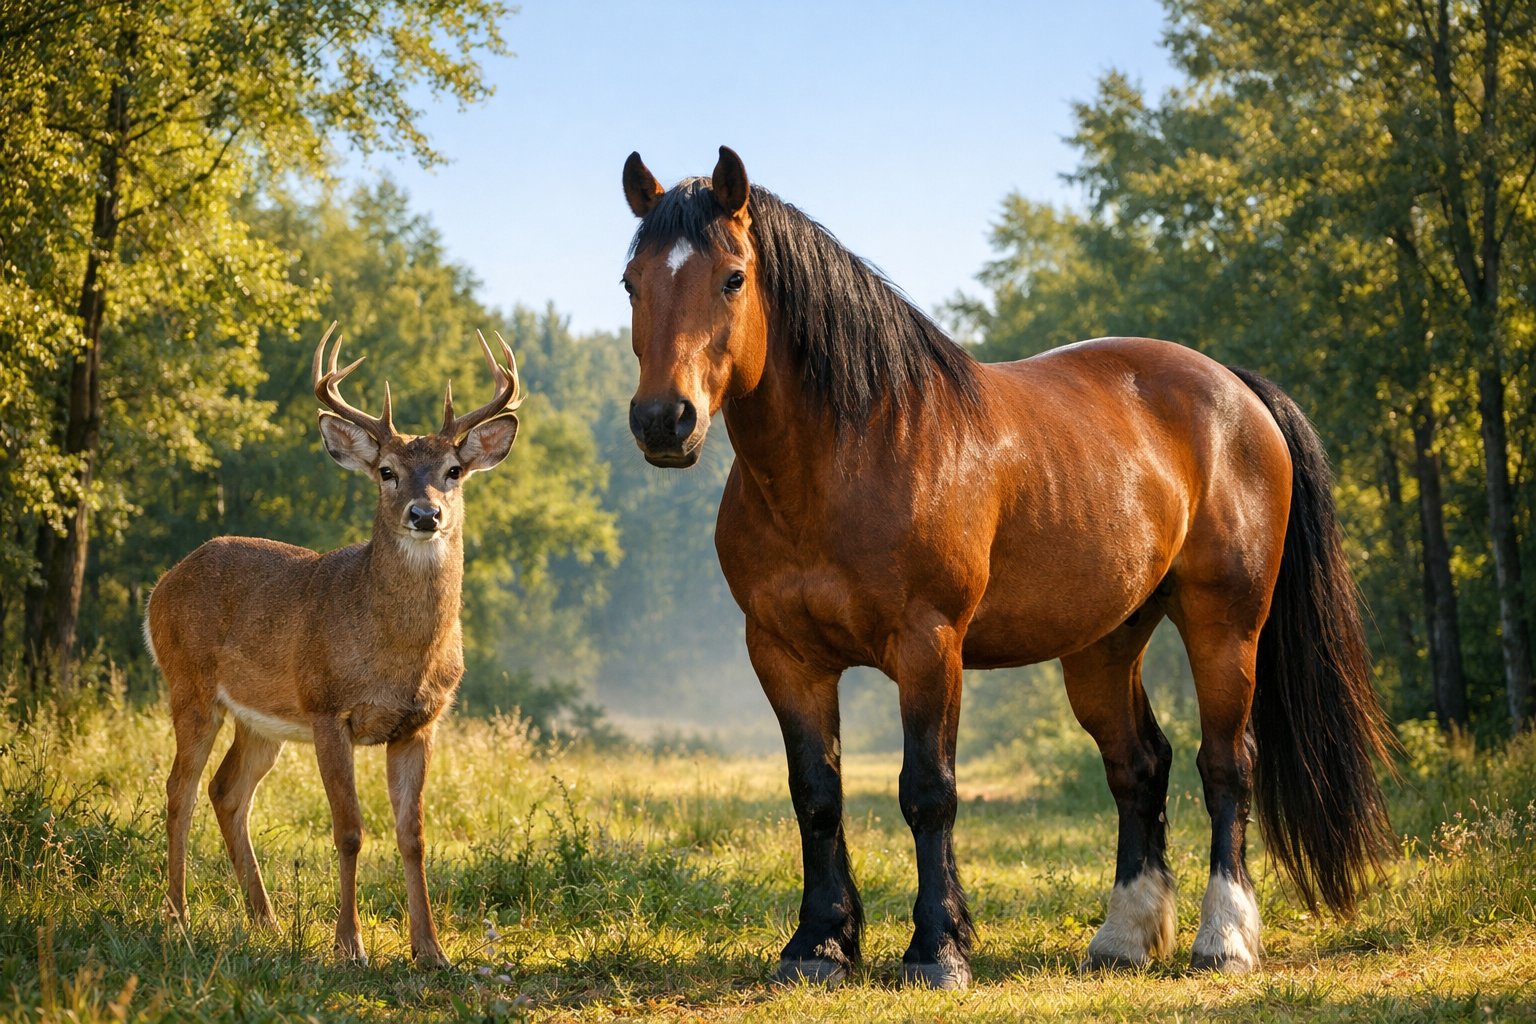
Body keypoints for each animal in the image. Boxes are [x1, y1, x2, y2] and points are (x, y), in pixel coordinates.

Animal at [144, 322, 522, 967]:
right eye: (387, 471)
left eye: (453, 469)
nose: (426, 514)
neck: (398, 657)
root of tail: (161, 586)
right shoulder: (328, 709)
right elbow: (349, 830)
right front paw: (350, 945)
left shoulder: (421, 723)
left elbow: (413, 835)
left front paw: (431, 949)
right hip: (189, 686)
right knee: (180, 790)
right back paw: (178, 916)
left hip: (262, 722)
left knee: (227, 791)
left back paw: (266, 921)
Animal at [618, 146, 1393, 989]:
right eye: (631, 282)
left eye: (733, 277)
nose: (664, 421)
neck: (845, 455)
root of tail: (1235, 390)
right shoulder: (784, 655)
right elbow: (816, 795)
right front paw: (819, 946)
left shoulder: (929, 645)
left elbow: (929, 791)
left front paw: (937, 949)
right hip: (1105, 644)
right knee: (1139, 766)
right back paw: (1122, 938)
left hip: (1226, 625)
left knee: (1226, 765)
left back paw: (1222, 939)